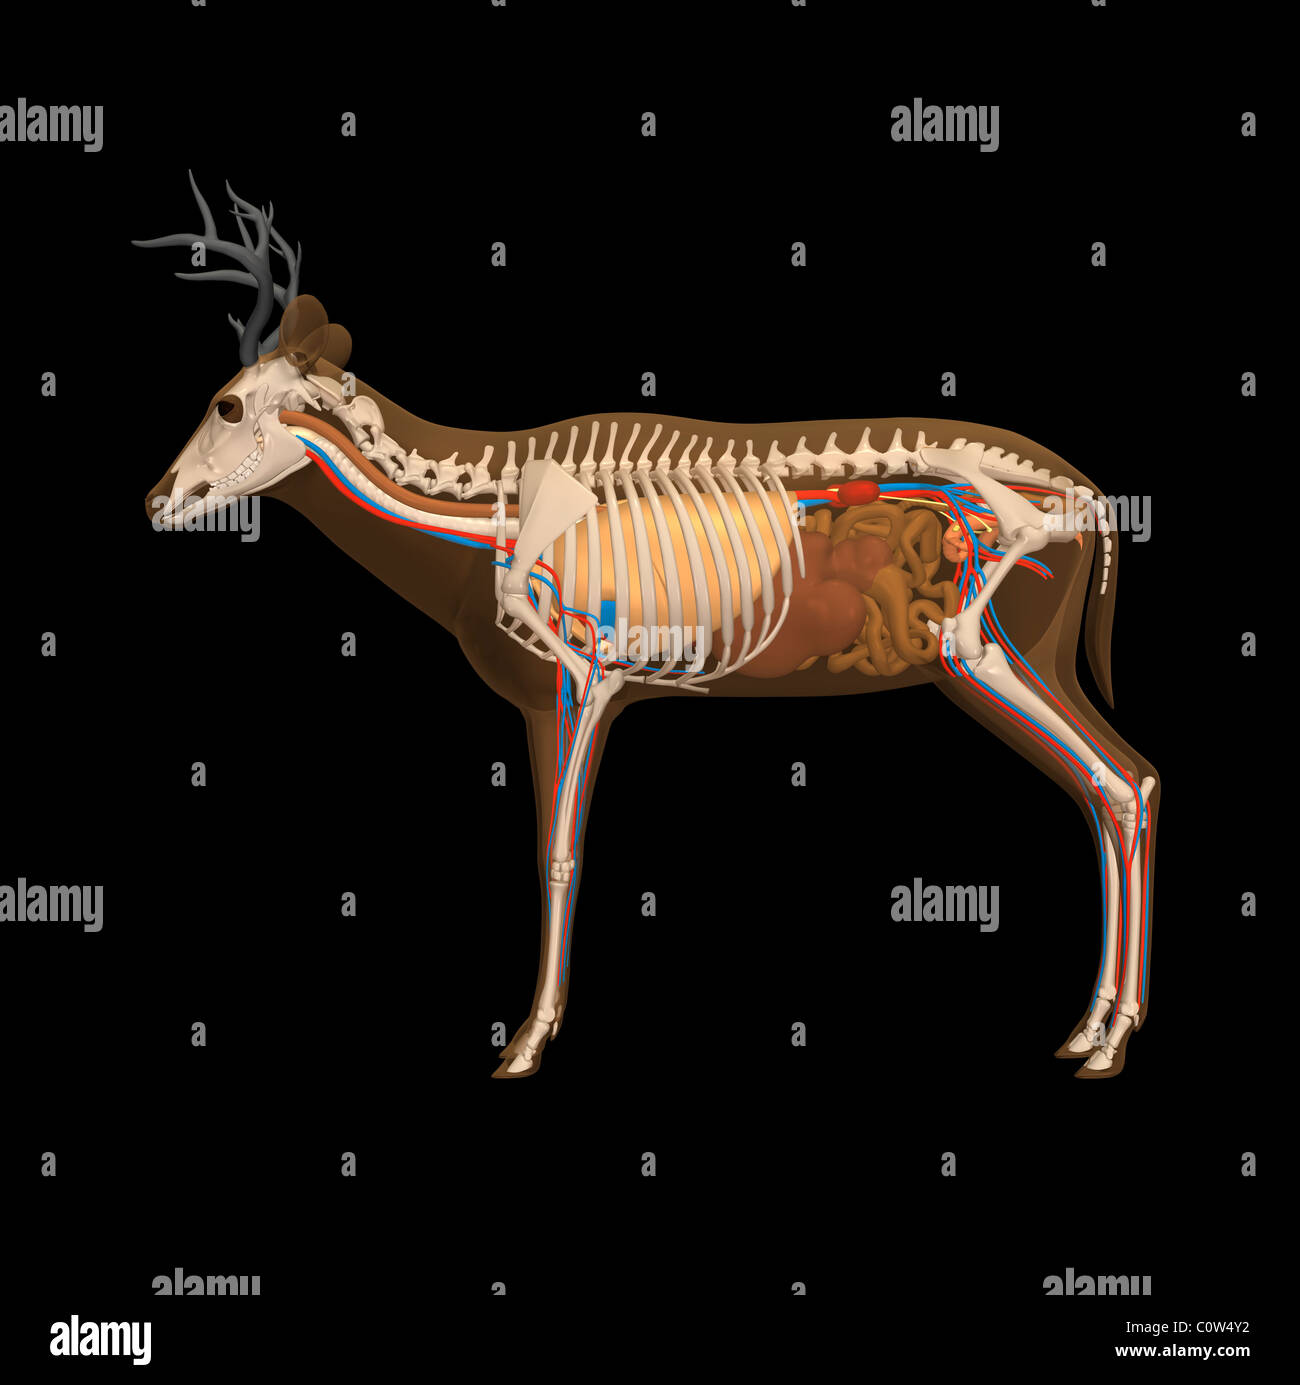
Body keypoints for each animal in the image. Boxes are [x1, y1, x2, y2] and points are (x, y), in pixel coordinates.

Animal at [135, 174, 1158, 1080]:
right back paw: (1087, 1033)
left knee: (1122, 780)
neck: (483, 512)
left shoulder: (583, 676)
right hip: (1032, 662)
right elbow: (554, 849)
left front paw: (523, 1046)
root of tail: (1095, 503)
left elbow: (559, 855)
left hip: (983, 649)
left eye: (227, 402)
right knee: (1118, 782)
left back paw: (1109, 1042)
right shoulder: (558, 693)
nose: (157, 501)